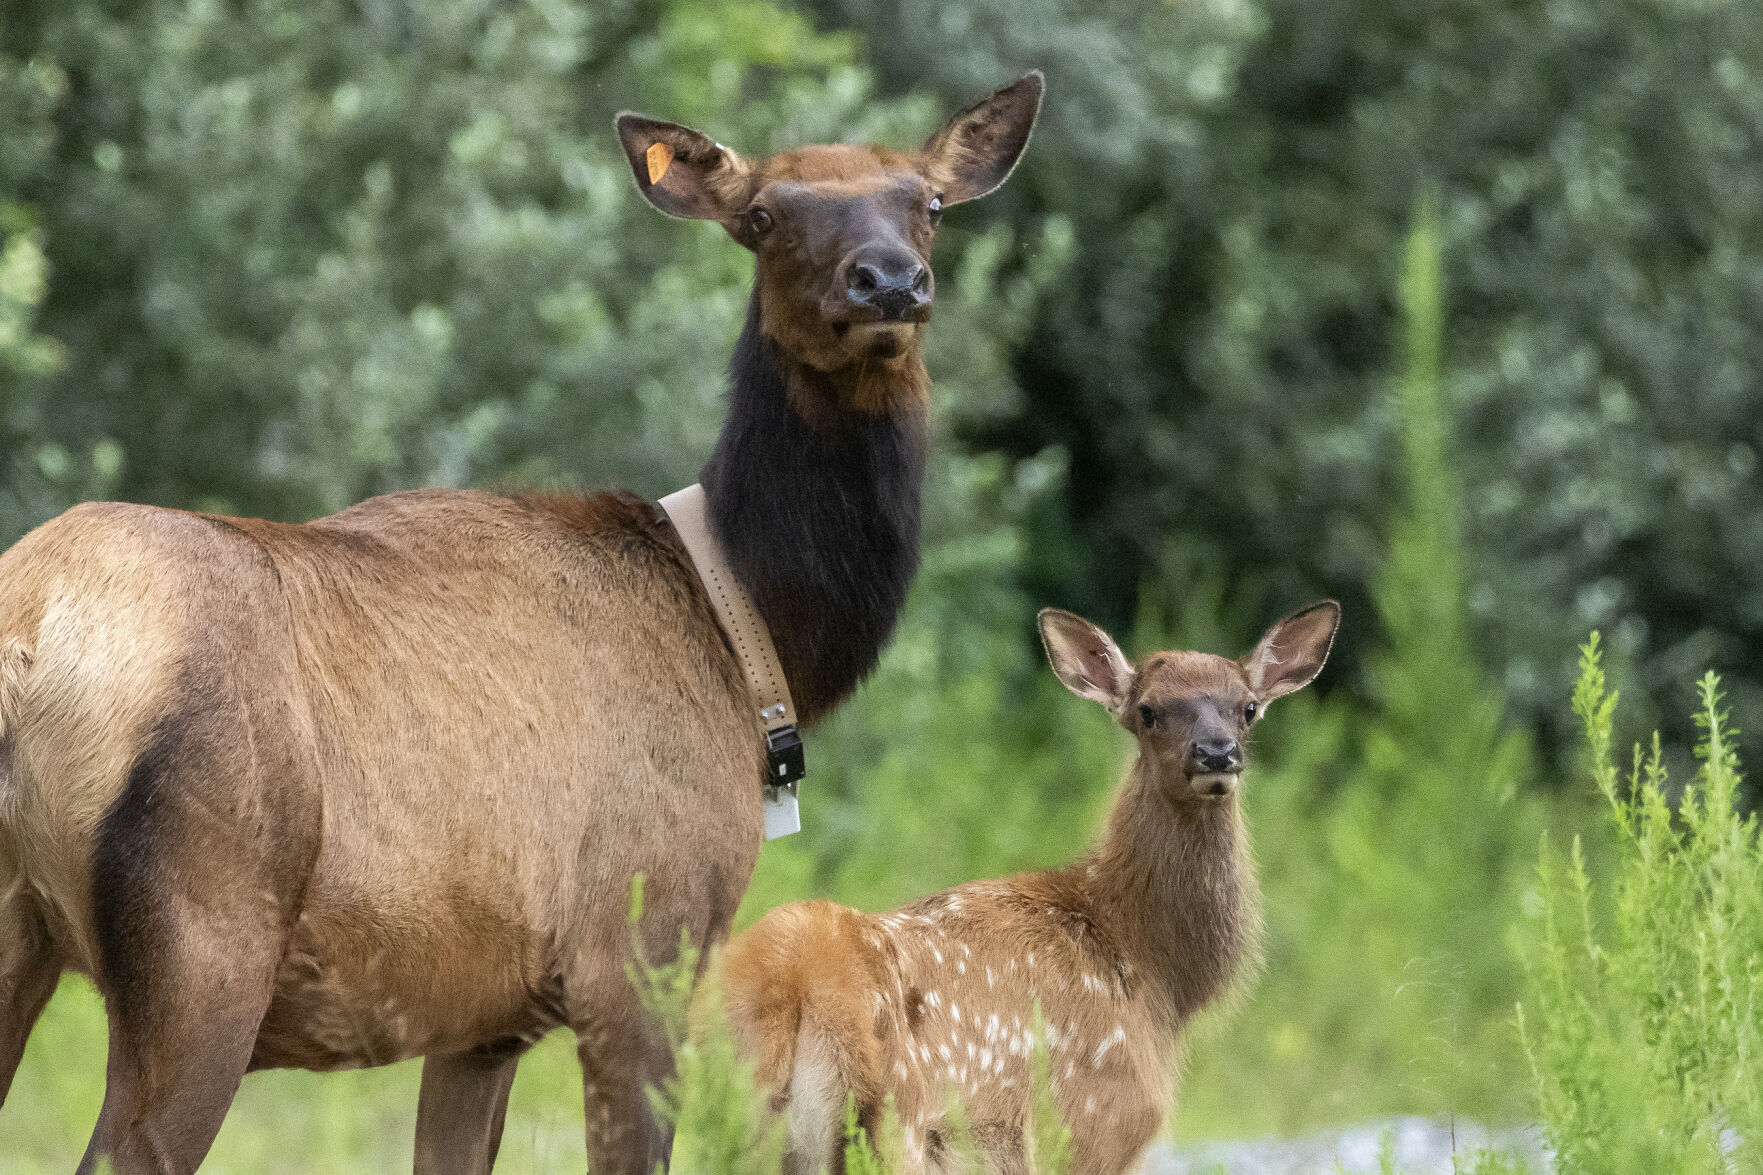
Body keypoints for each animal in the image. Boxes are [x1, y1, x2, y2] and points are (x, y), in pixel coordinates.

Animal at [0, 72, 1043, 1175]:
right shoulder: (642, 942)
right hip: (205, 936)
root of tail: (28, 642)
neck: (750, 634)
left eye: (927, 202)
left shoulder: (482, 1019)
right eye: (762, 216)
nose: (886, 283)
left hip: (30, 936)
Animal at [721, 600, 1340, 1175]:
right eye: (1148, 711)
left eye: (1248, 708)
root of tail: (790, 986)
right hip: (898, 1129)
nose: (1216, 753)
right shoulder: (1095, 1125)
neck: (1152, 973)